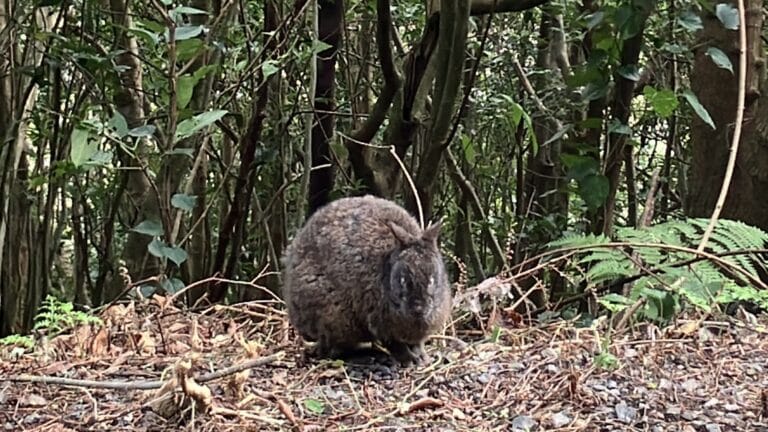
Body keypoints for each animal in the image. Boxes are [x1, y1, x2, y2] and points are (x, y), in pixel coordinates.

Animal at [281, 195, 451, 365]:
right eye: (402, 280)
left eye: (432, 279)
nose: (418, 309)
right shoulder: (378, 321)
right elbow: (396, 345)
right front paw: (410, 360)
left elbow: (416, 343)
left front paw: (423, 358)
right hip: (334, 316)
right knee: (330, 348)